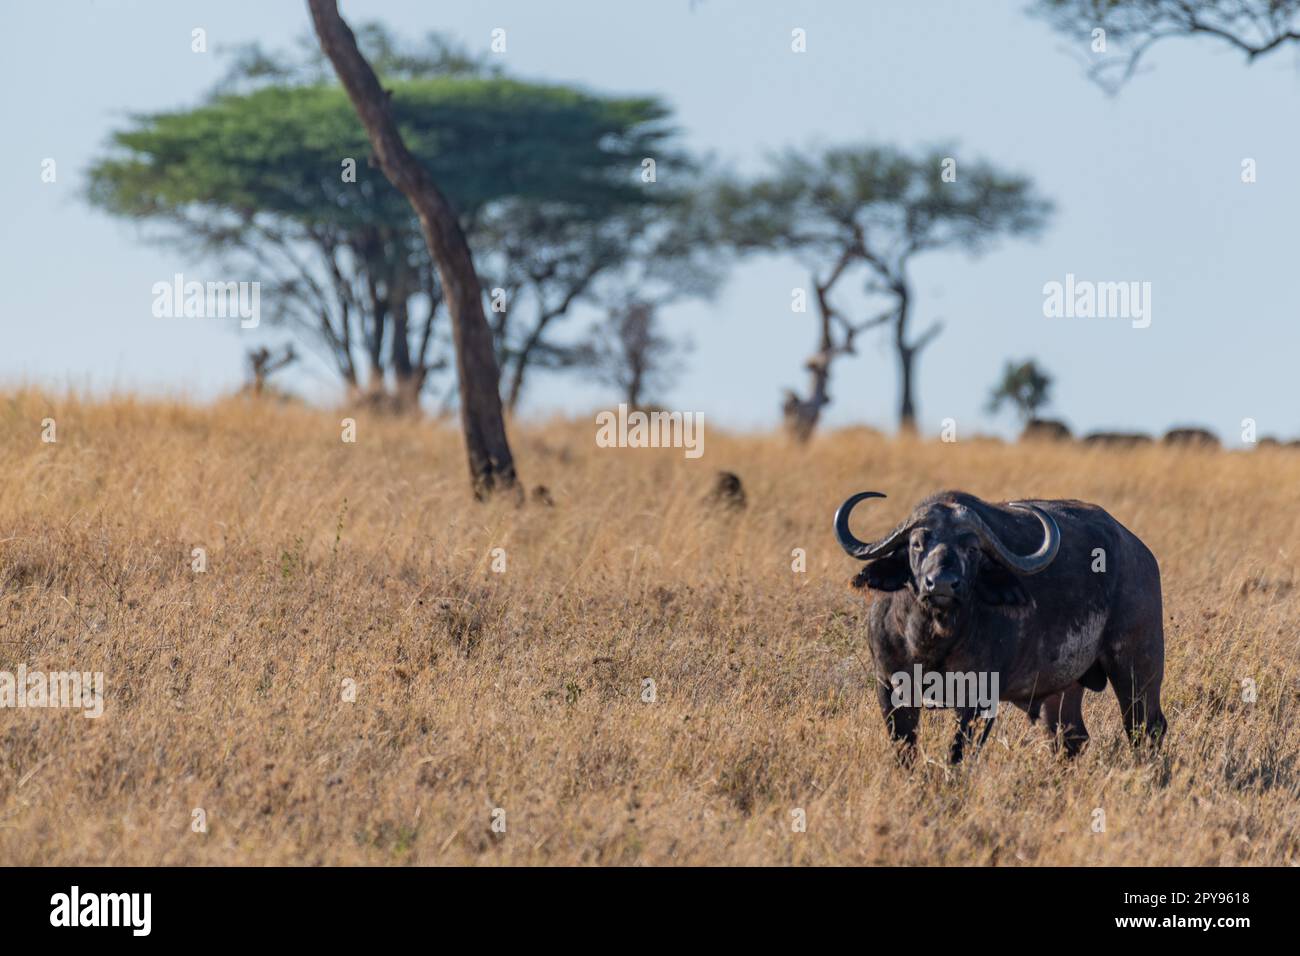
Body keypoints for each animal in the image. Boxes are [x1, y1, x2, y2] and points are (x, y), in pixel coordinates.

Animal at [836, 490, 1167, 764]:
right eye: (917, 543)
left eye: (971, 549)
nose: (941, 583)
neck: (931, 638)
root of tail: (1140, 553)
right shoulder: (889, 686)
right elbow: (905, 752)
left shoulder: (979, 698)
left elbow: (958, 756)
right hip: (1061, 690)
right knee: (1071, 739)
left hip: (1137, 671)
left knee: (1146, 729)